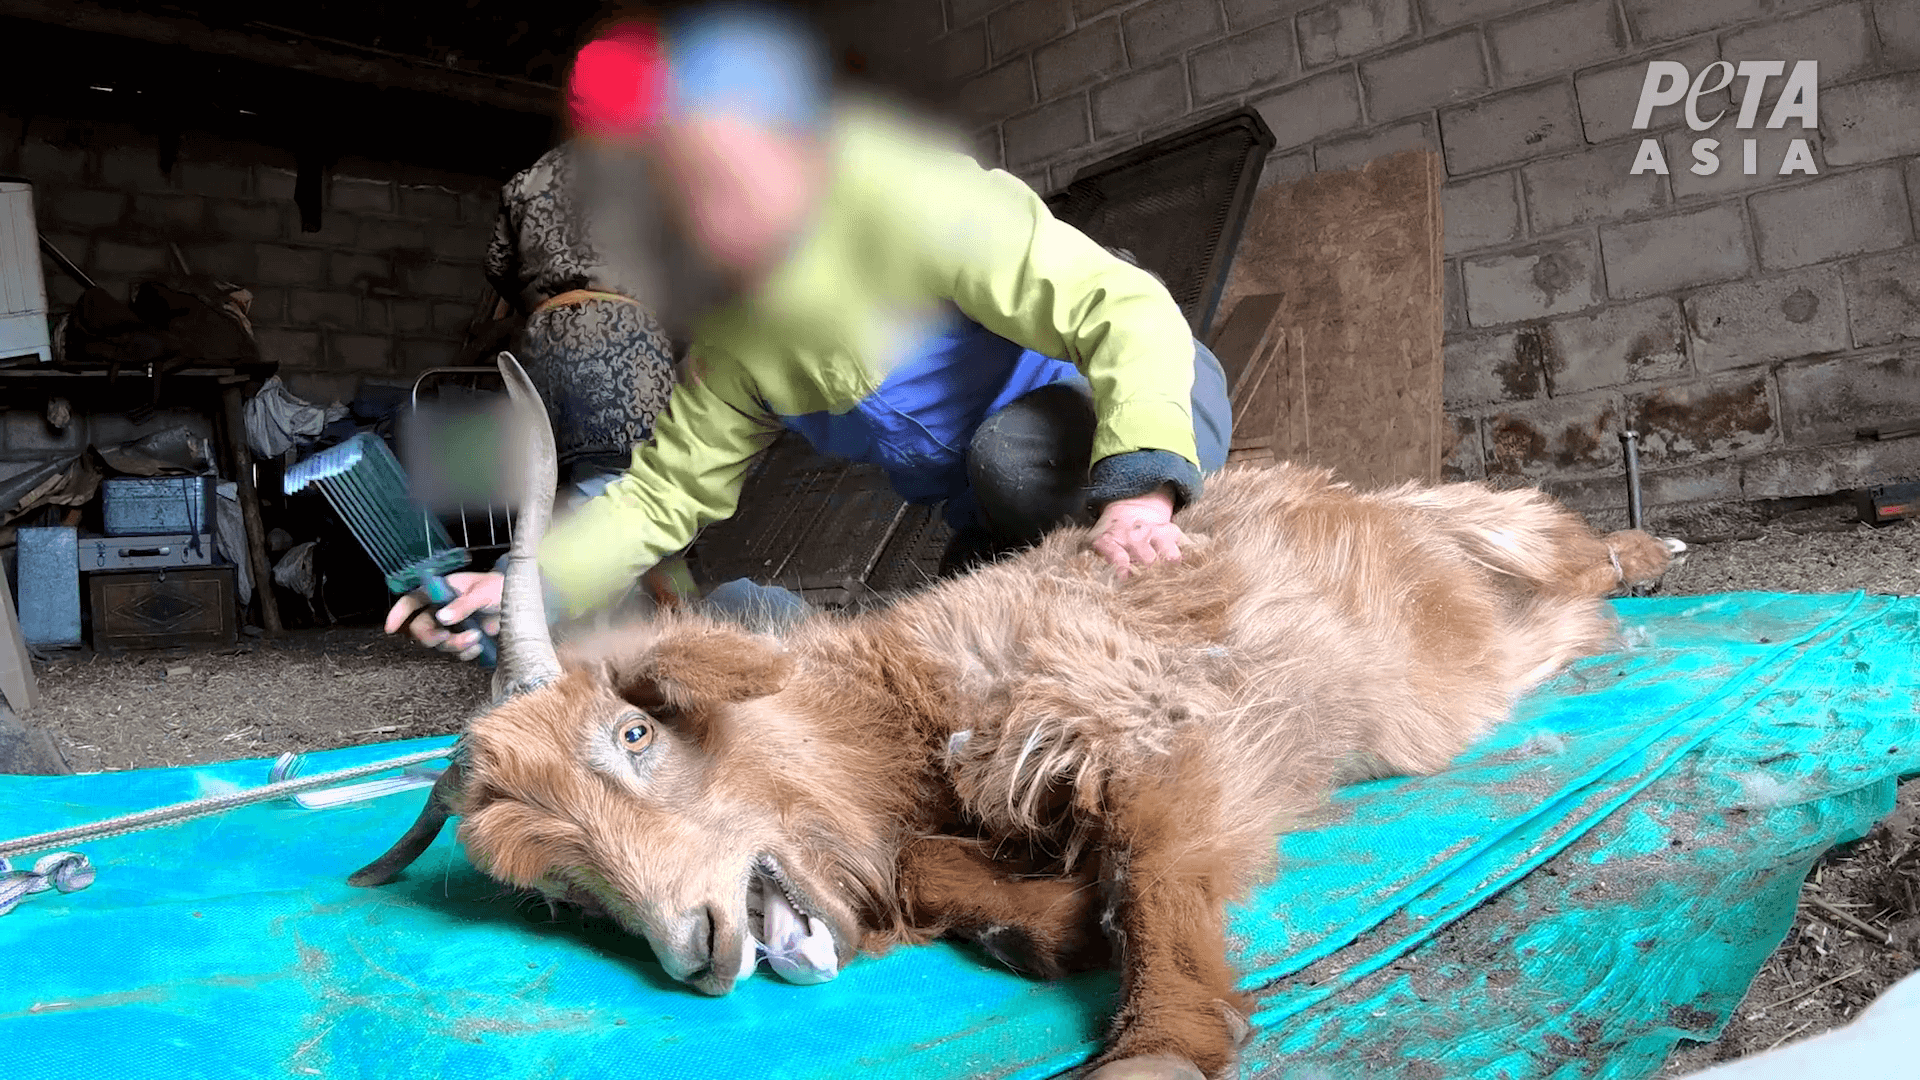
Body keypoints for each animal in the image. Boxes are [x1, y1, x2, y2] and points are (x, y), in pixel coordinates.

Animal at [351, 353, 1679, 1080]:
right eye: (557, 893)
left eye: (632, 736)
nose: (697, 949)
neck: (900, 695)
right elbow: (938, 866)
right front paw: (1040, 928)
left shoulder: (1151, 722)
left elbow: (1149, 870)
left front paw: (1151, 1046)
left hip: (1482, 520)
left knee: (1563, 542)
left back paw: (1650, 551)